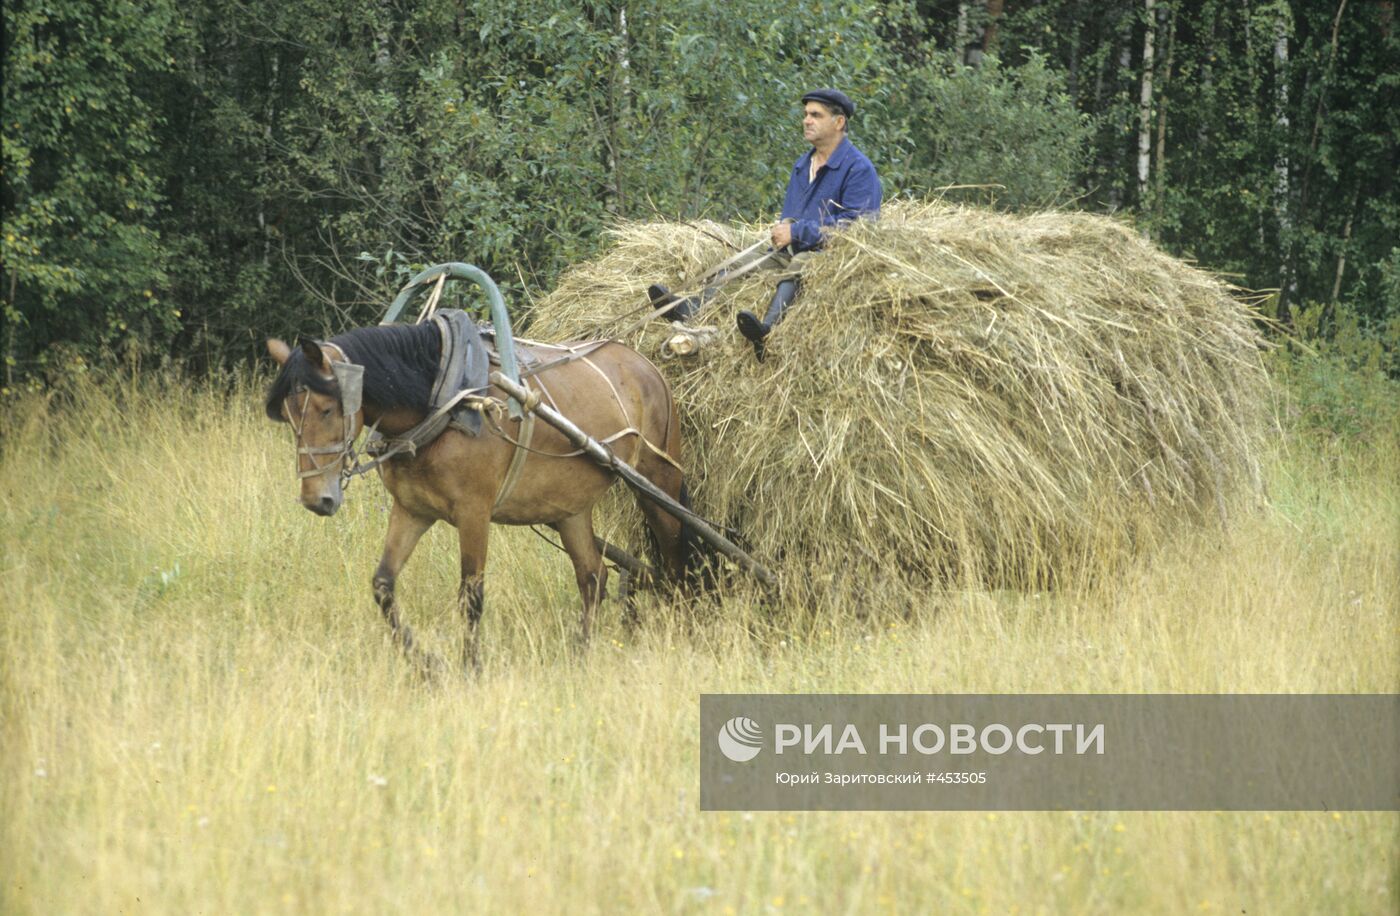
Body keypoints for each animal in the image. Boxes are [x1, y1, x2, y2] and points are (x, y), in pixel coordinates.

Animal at [264, 321, 690, 671]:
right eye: (289, 414)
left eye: (325, 409)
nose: (316, 499)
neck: (444, 403)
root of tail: (646, 365)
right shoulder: (411, 511)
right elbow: (383, 586)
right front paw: (426, 664)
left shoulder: (474, 513)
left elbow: (471, 596)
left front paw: (470, 669)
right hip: (570, 507)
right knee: (593, 577)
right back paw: (579, 655)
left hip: (657, 484)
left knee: (673, 559)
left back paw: (680, 628)